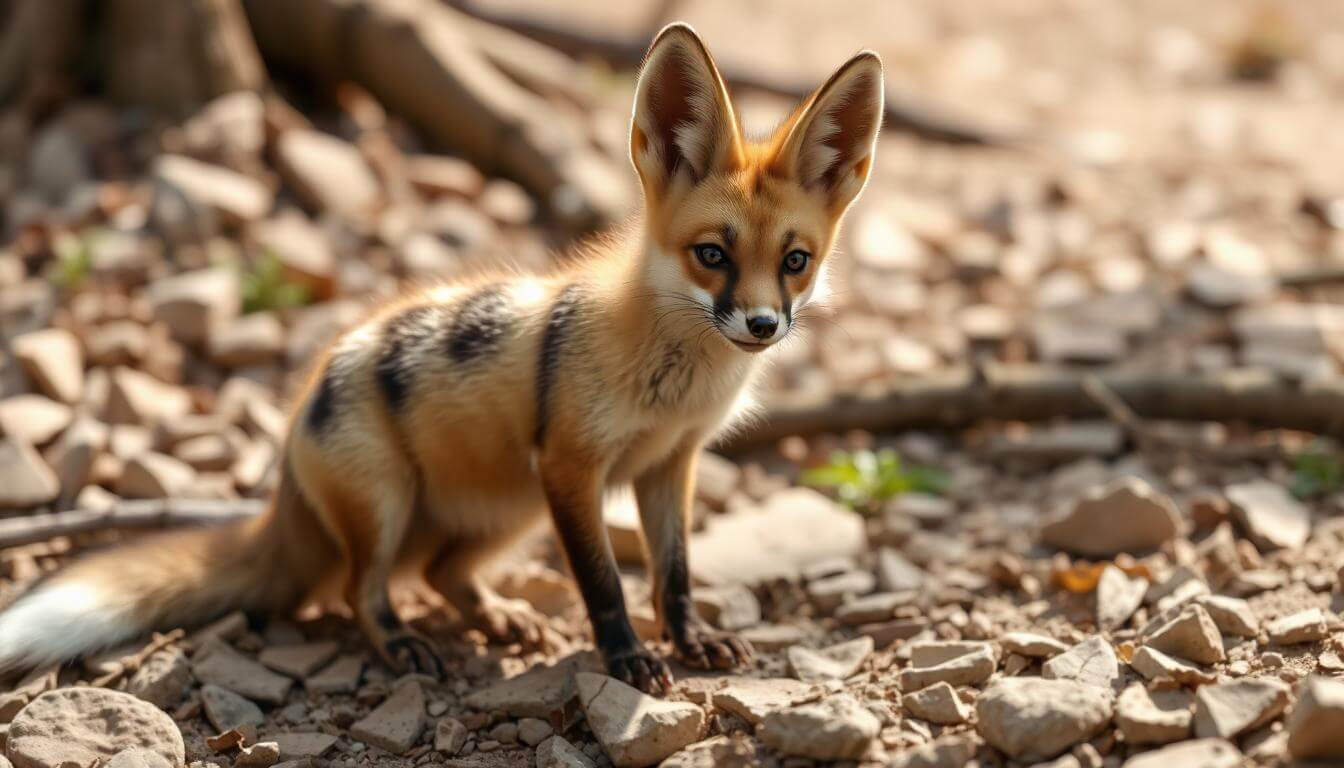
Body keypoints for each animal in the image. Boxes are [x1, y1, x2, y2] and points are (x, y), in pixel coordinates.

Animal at [0, 23, 884, 694]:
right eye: (711, 255)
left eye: (795, 261)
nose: (763, 325)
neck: (675, 389)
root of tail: (288, 455)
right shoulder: (573, 464)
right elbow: (603, 585)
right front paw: (628, 658)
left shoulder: (669, 464)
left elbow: (675, 573)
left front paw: (690, 639)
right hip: (396, 499)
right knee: (361, 591)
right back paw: (400, 643)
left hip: (510, 508)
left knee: (439, 575)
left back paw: (496, 615)